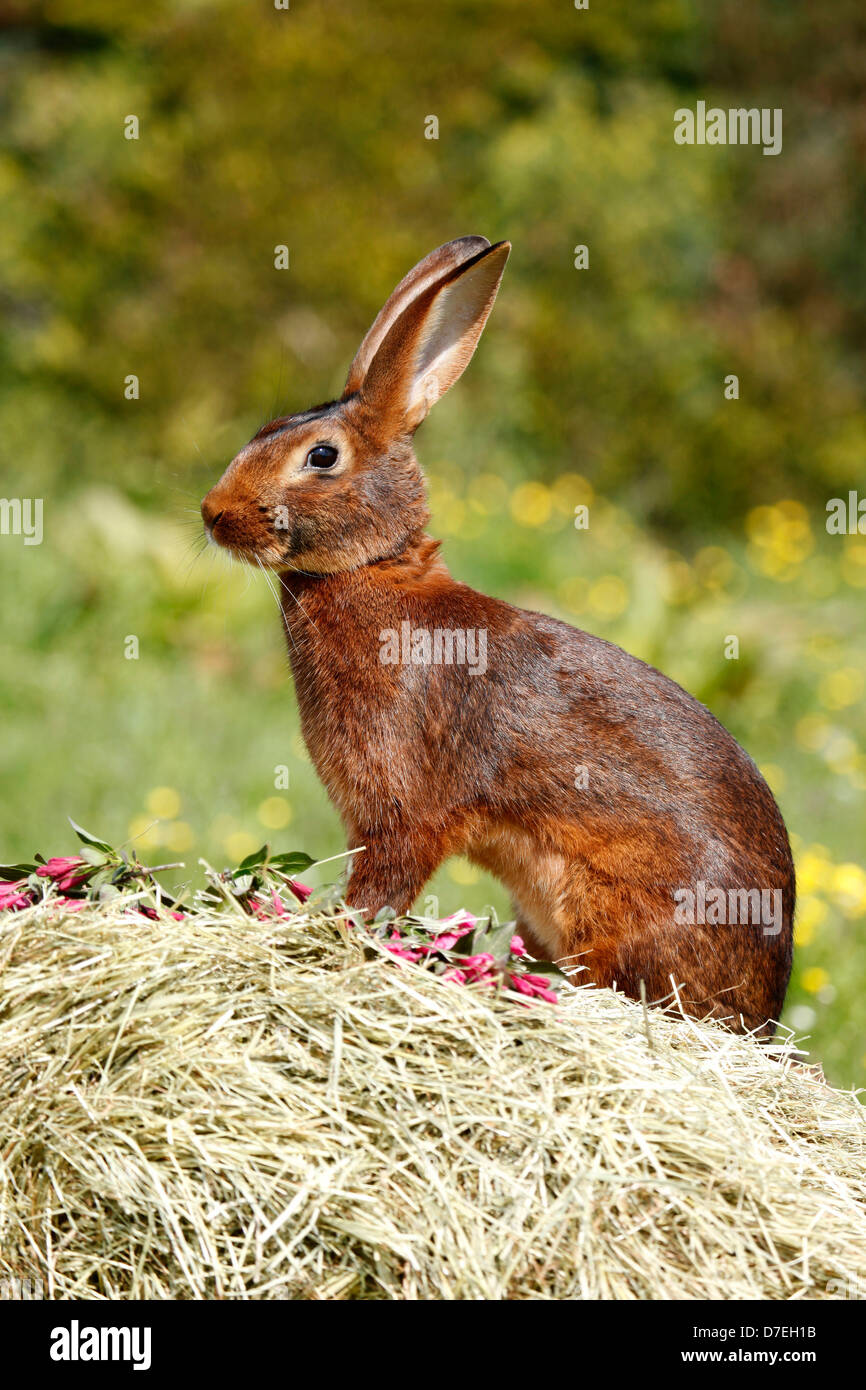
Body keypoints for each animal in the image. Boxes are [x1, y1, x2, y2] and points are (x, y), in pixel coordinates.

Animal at [201, 235, 795, 1035]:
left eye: (320, 456)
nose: (213, 513)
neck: (375, 569)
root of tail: (764, 1013)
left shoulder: (402, 811)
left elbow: (381, 891)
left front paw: (332, 940)